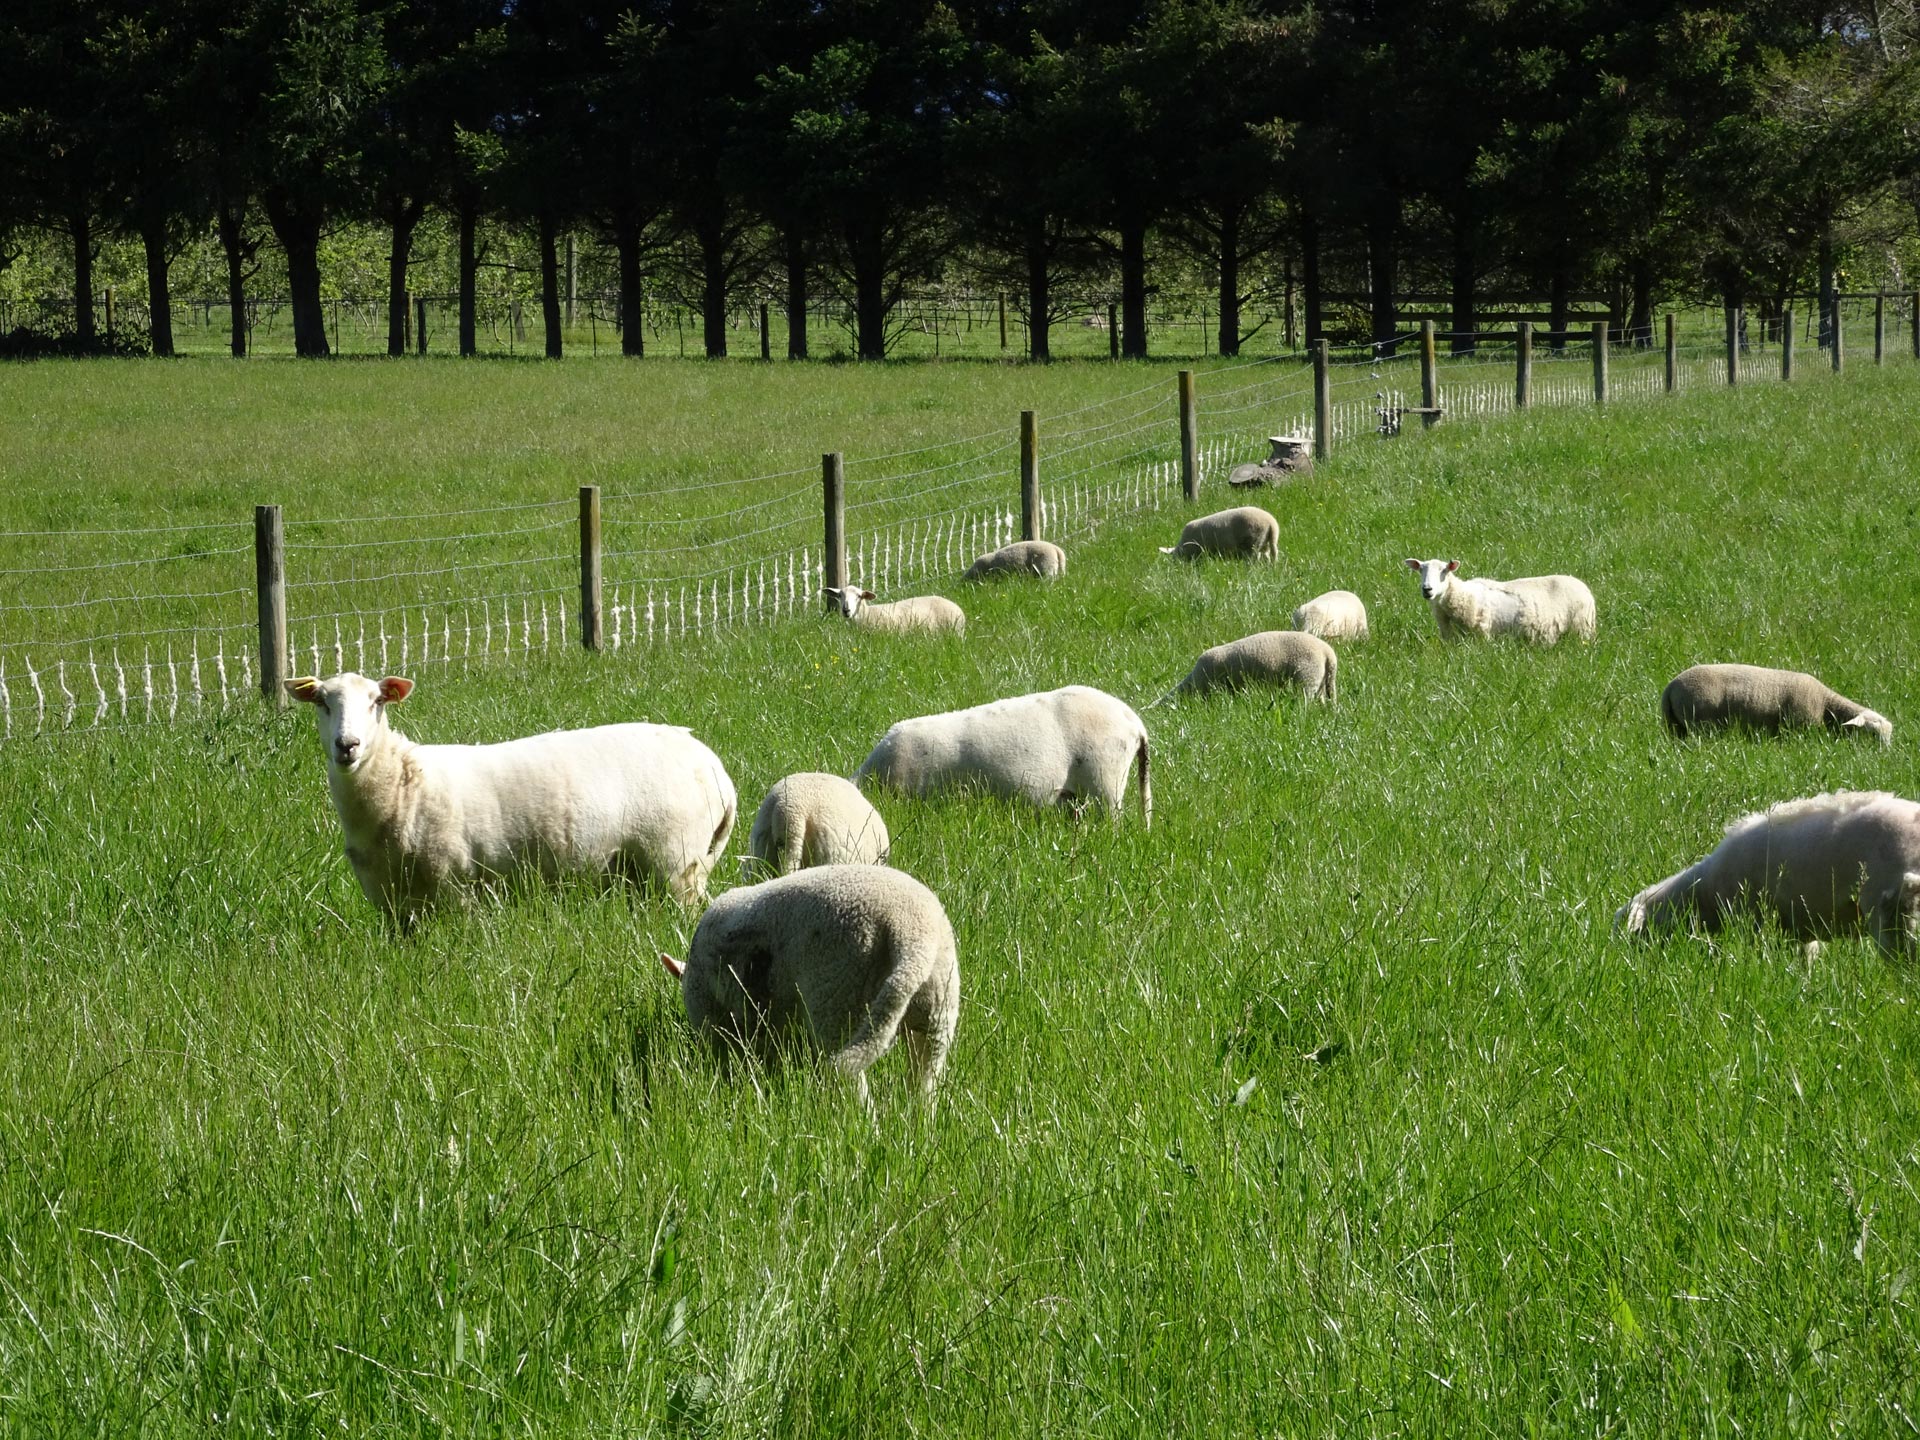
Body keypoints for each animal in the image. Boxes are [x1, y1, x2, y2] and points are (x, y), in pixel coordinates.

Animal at [284, 672, 736, 921]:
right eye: (322, 702)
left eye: (377, 701)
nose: (348, 745)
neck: (401, 784)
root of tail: (715, 767)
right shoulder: (392, 905)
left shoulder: (456, 889)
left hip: (675, 864)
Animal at [660, 864, 960, 1105]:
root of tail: (912, 936)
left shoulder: (711, 1015)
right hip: (939, 1007)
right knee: (925, 1081)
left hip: (837, 995)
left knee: (852, 1082)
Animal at [1404, 558, 1597, 645]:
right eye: (1421, 570)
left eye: (1444, 571)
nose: (1427, 589)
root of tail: (1584, 587)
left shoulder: (1482, 634)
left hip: (1582, 627)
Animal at [1661, 663, 1891, 744]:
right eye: (1872, 734)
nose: (1884, 756)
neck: (1826, 704)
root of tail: (1671, 686)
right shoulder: (1798, 727)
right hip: (1700, 722)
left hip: (1676, 726)